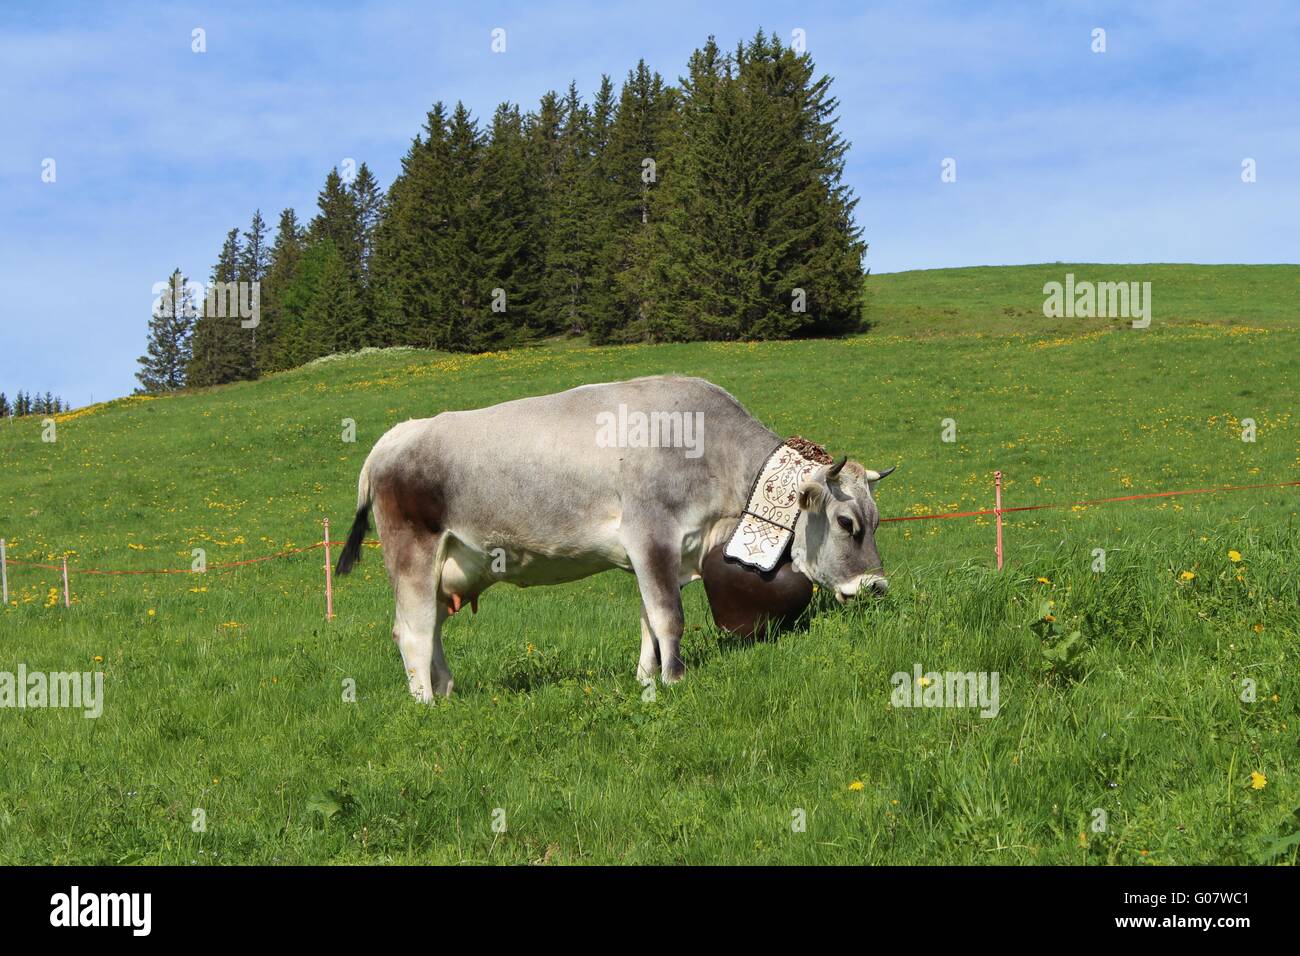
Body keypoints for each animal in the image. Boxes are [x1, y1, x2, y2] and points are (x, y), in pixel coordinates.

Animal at [335, 375, 894, 700]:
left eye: (876, 518)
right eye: (847, 523)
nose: (876, 586)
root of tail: (397, 435)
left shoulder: (660, 554)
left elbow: (648, 618)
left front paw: (647, 678)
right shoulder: (652, 535)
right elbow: (669, 617)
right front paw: (674, 680)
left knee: (430, 631)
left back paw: (447, 691)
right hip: (412, 552)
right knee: (412, 631)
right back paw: (427, 704)